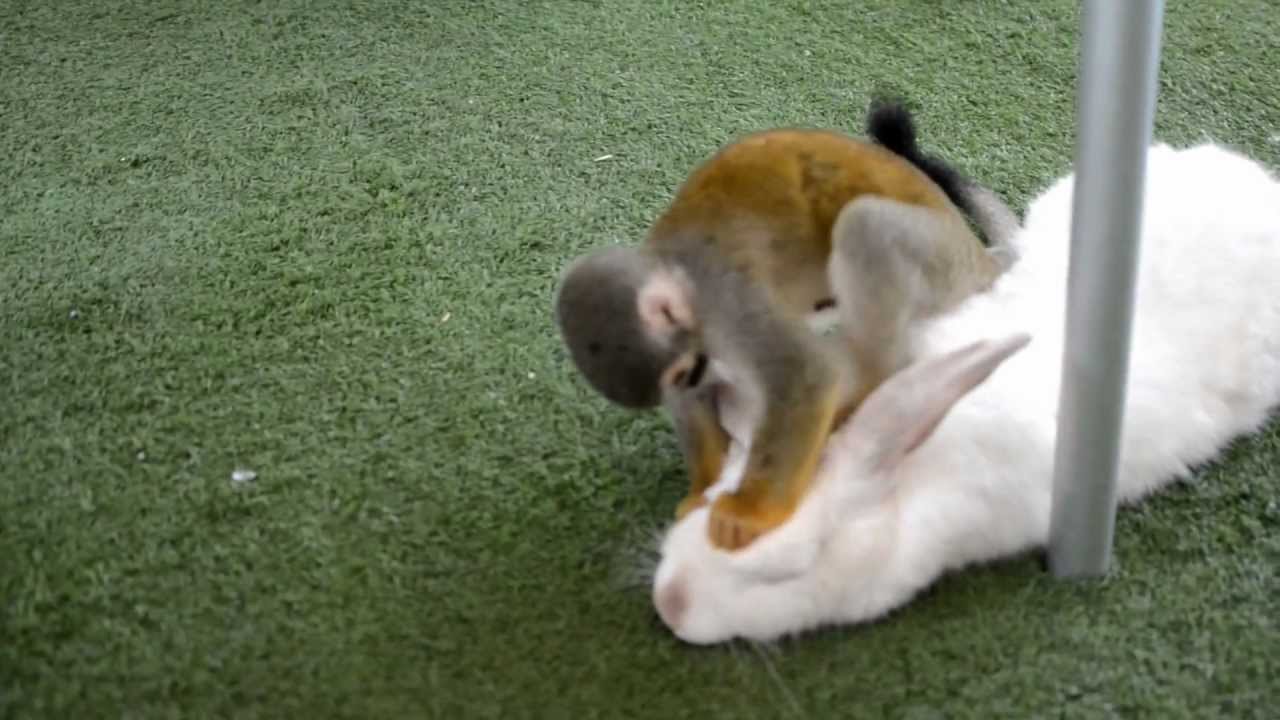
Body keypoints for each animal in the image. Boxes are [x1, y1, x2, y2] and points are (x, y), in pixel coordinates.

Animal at [554, 100, 1020, 551]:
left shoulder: (728, 304)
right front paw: (703, 487)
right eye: (679, 379)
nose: (697, 376)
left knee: (863, 224)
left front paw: (749, 513)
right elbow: (696, 408)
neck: (681, 282)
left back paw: (867, 388)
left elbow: (806, 375)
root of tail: (977, 253)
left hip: (942, 263)